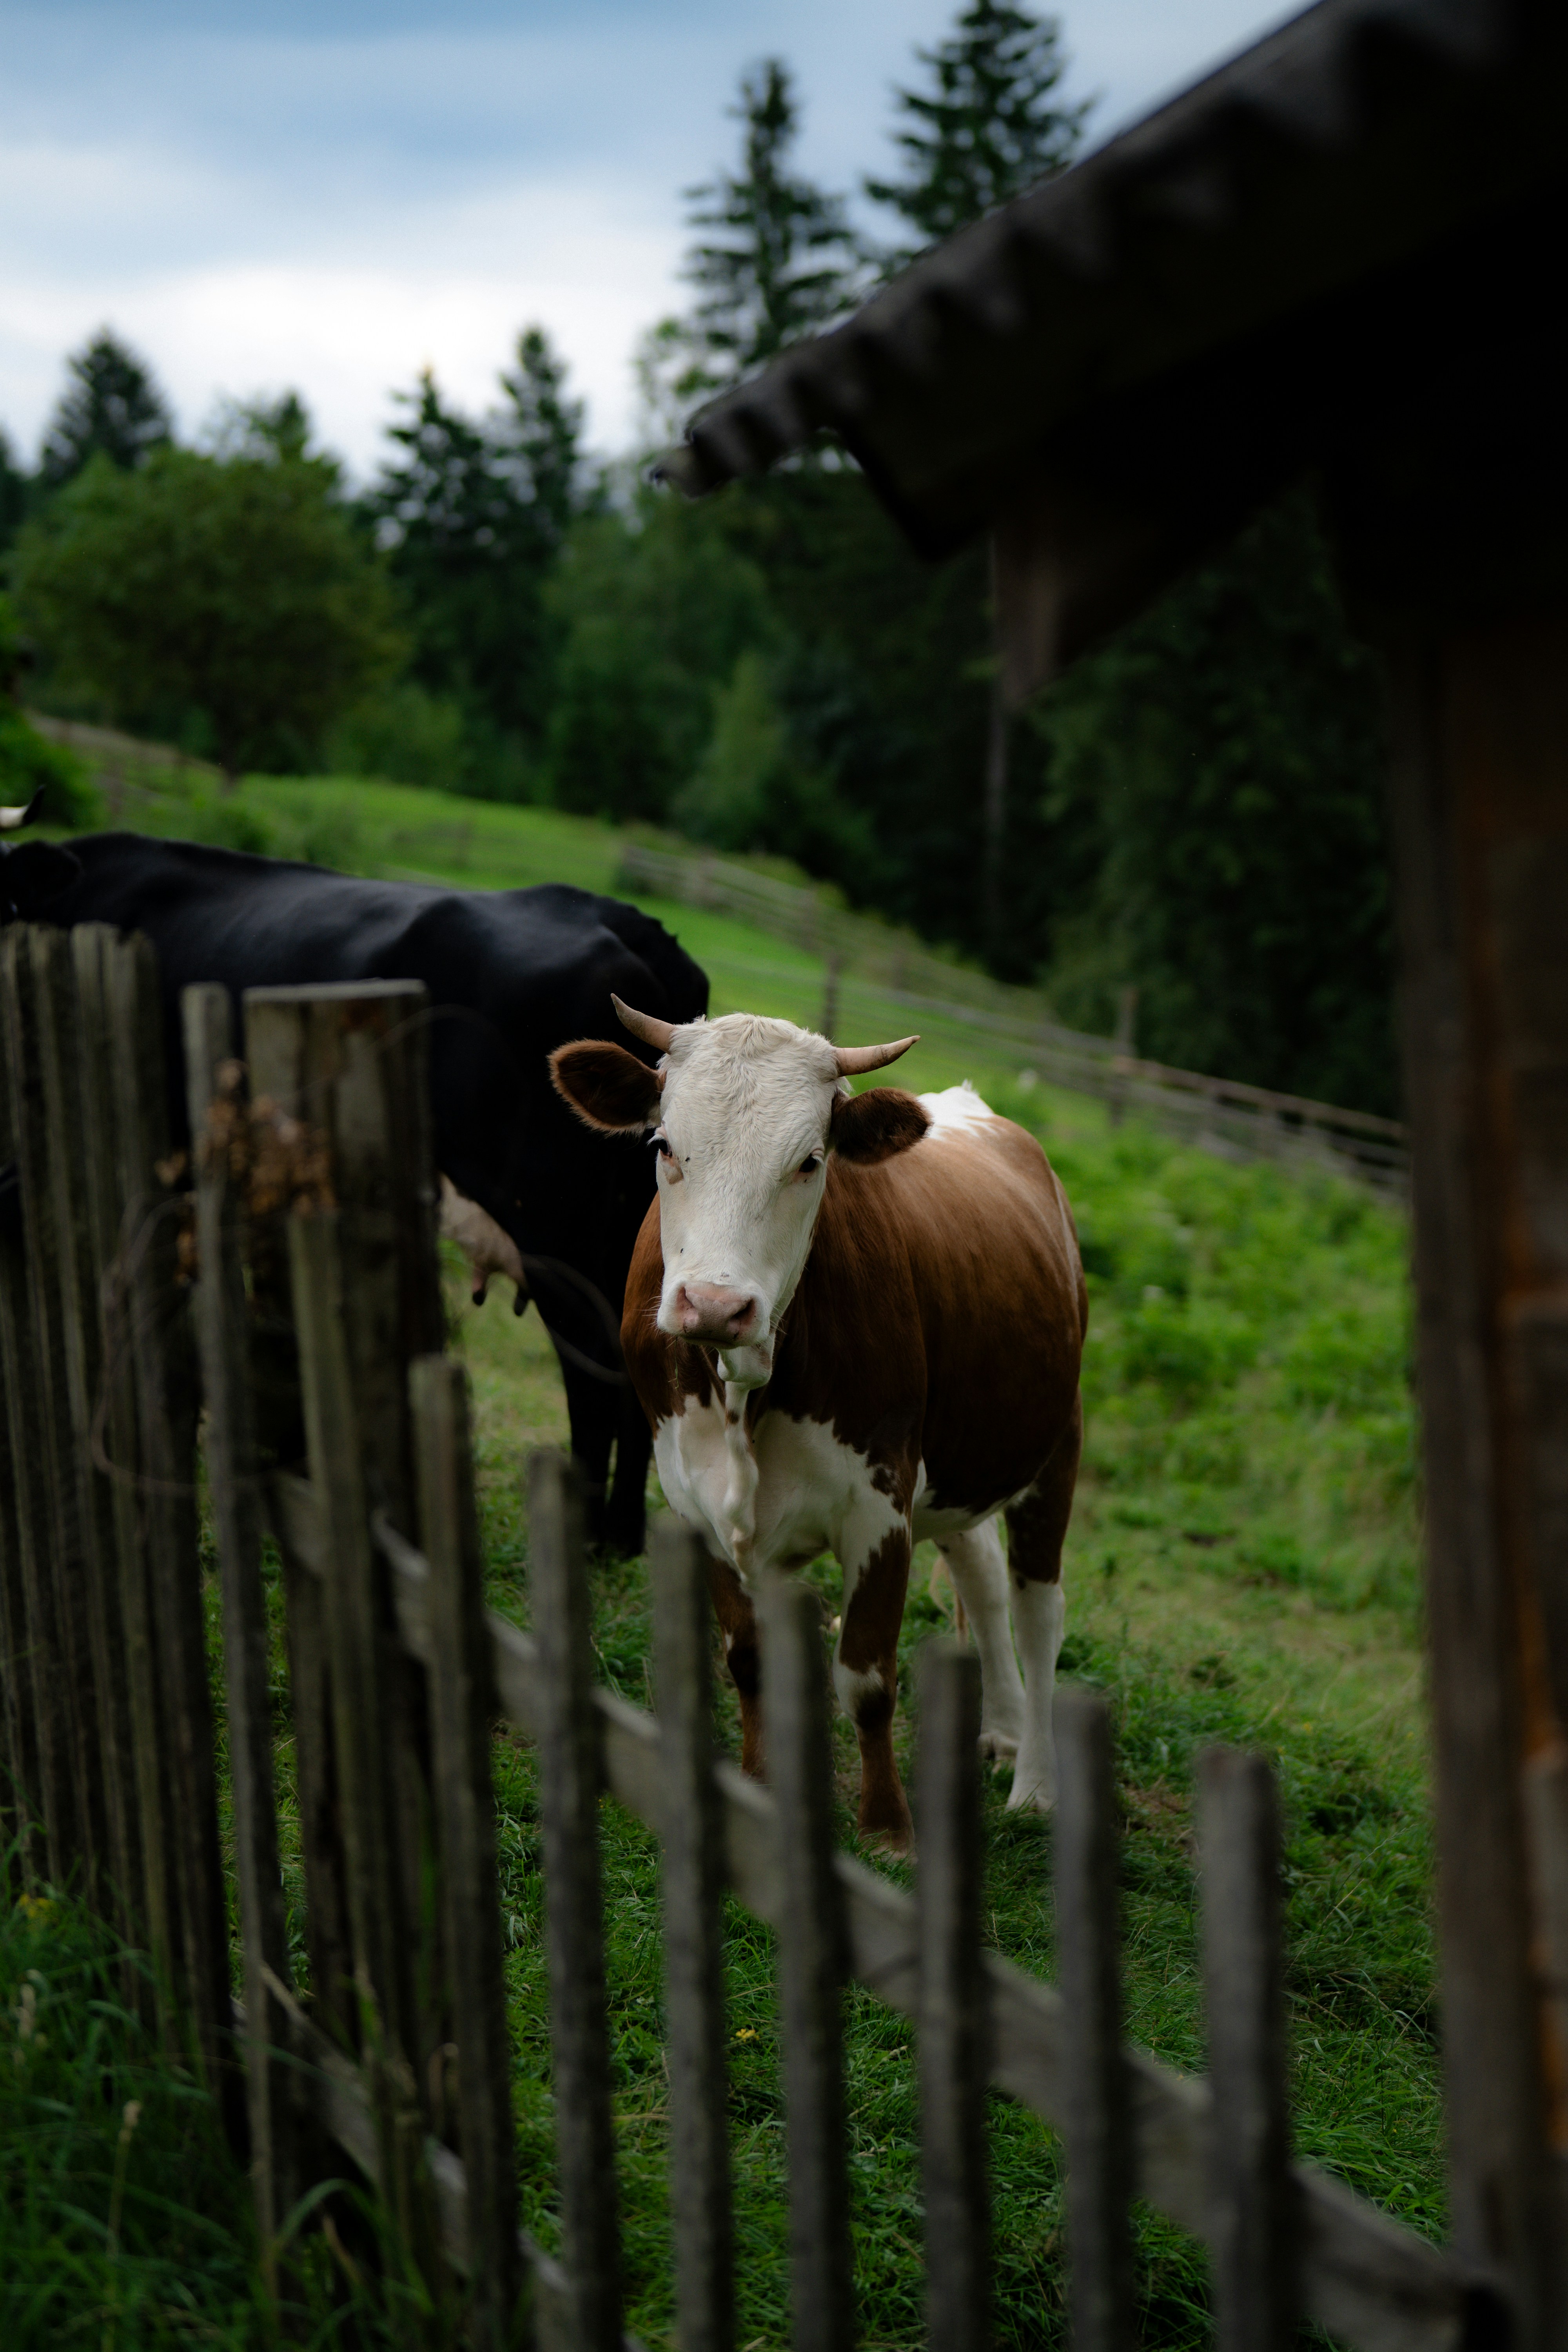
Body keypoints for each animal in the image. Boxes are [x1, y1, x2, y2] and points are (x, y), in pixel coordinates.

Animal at [548, 998, 1087, 1851]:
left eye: (809, 1161)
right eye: (664, 1144)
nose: (714, 1305)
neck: (745, 1388)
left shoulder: (880, 1504)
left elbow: (864, 1678)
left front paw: (887, 1829)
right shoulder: (698, 1503)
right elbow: (748, 1659)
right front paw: (759, 1792)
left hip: (1052, 1445)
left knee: (1039, 1613)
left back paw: (1035, 1784)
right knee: (982, 1577)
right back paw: (1001, 1728)